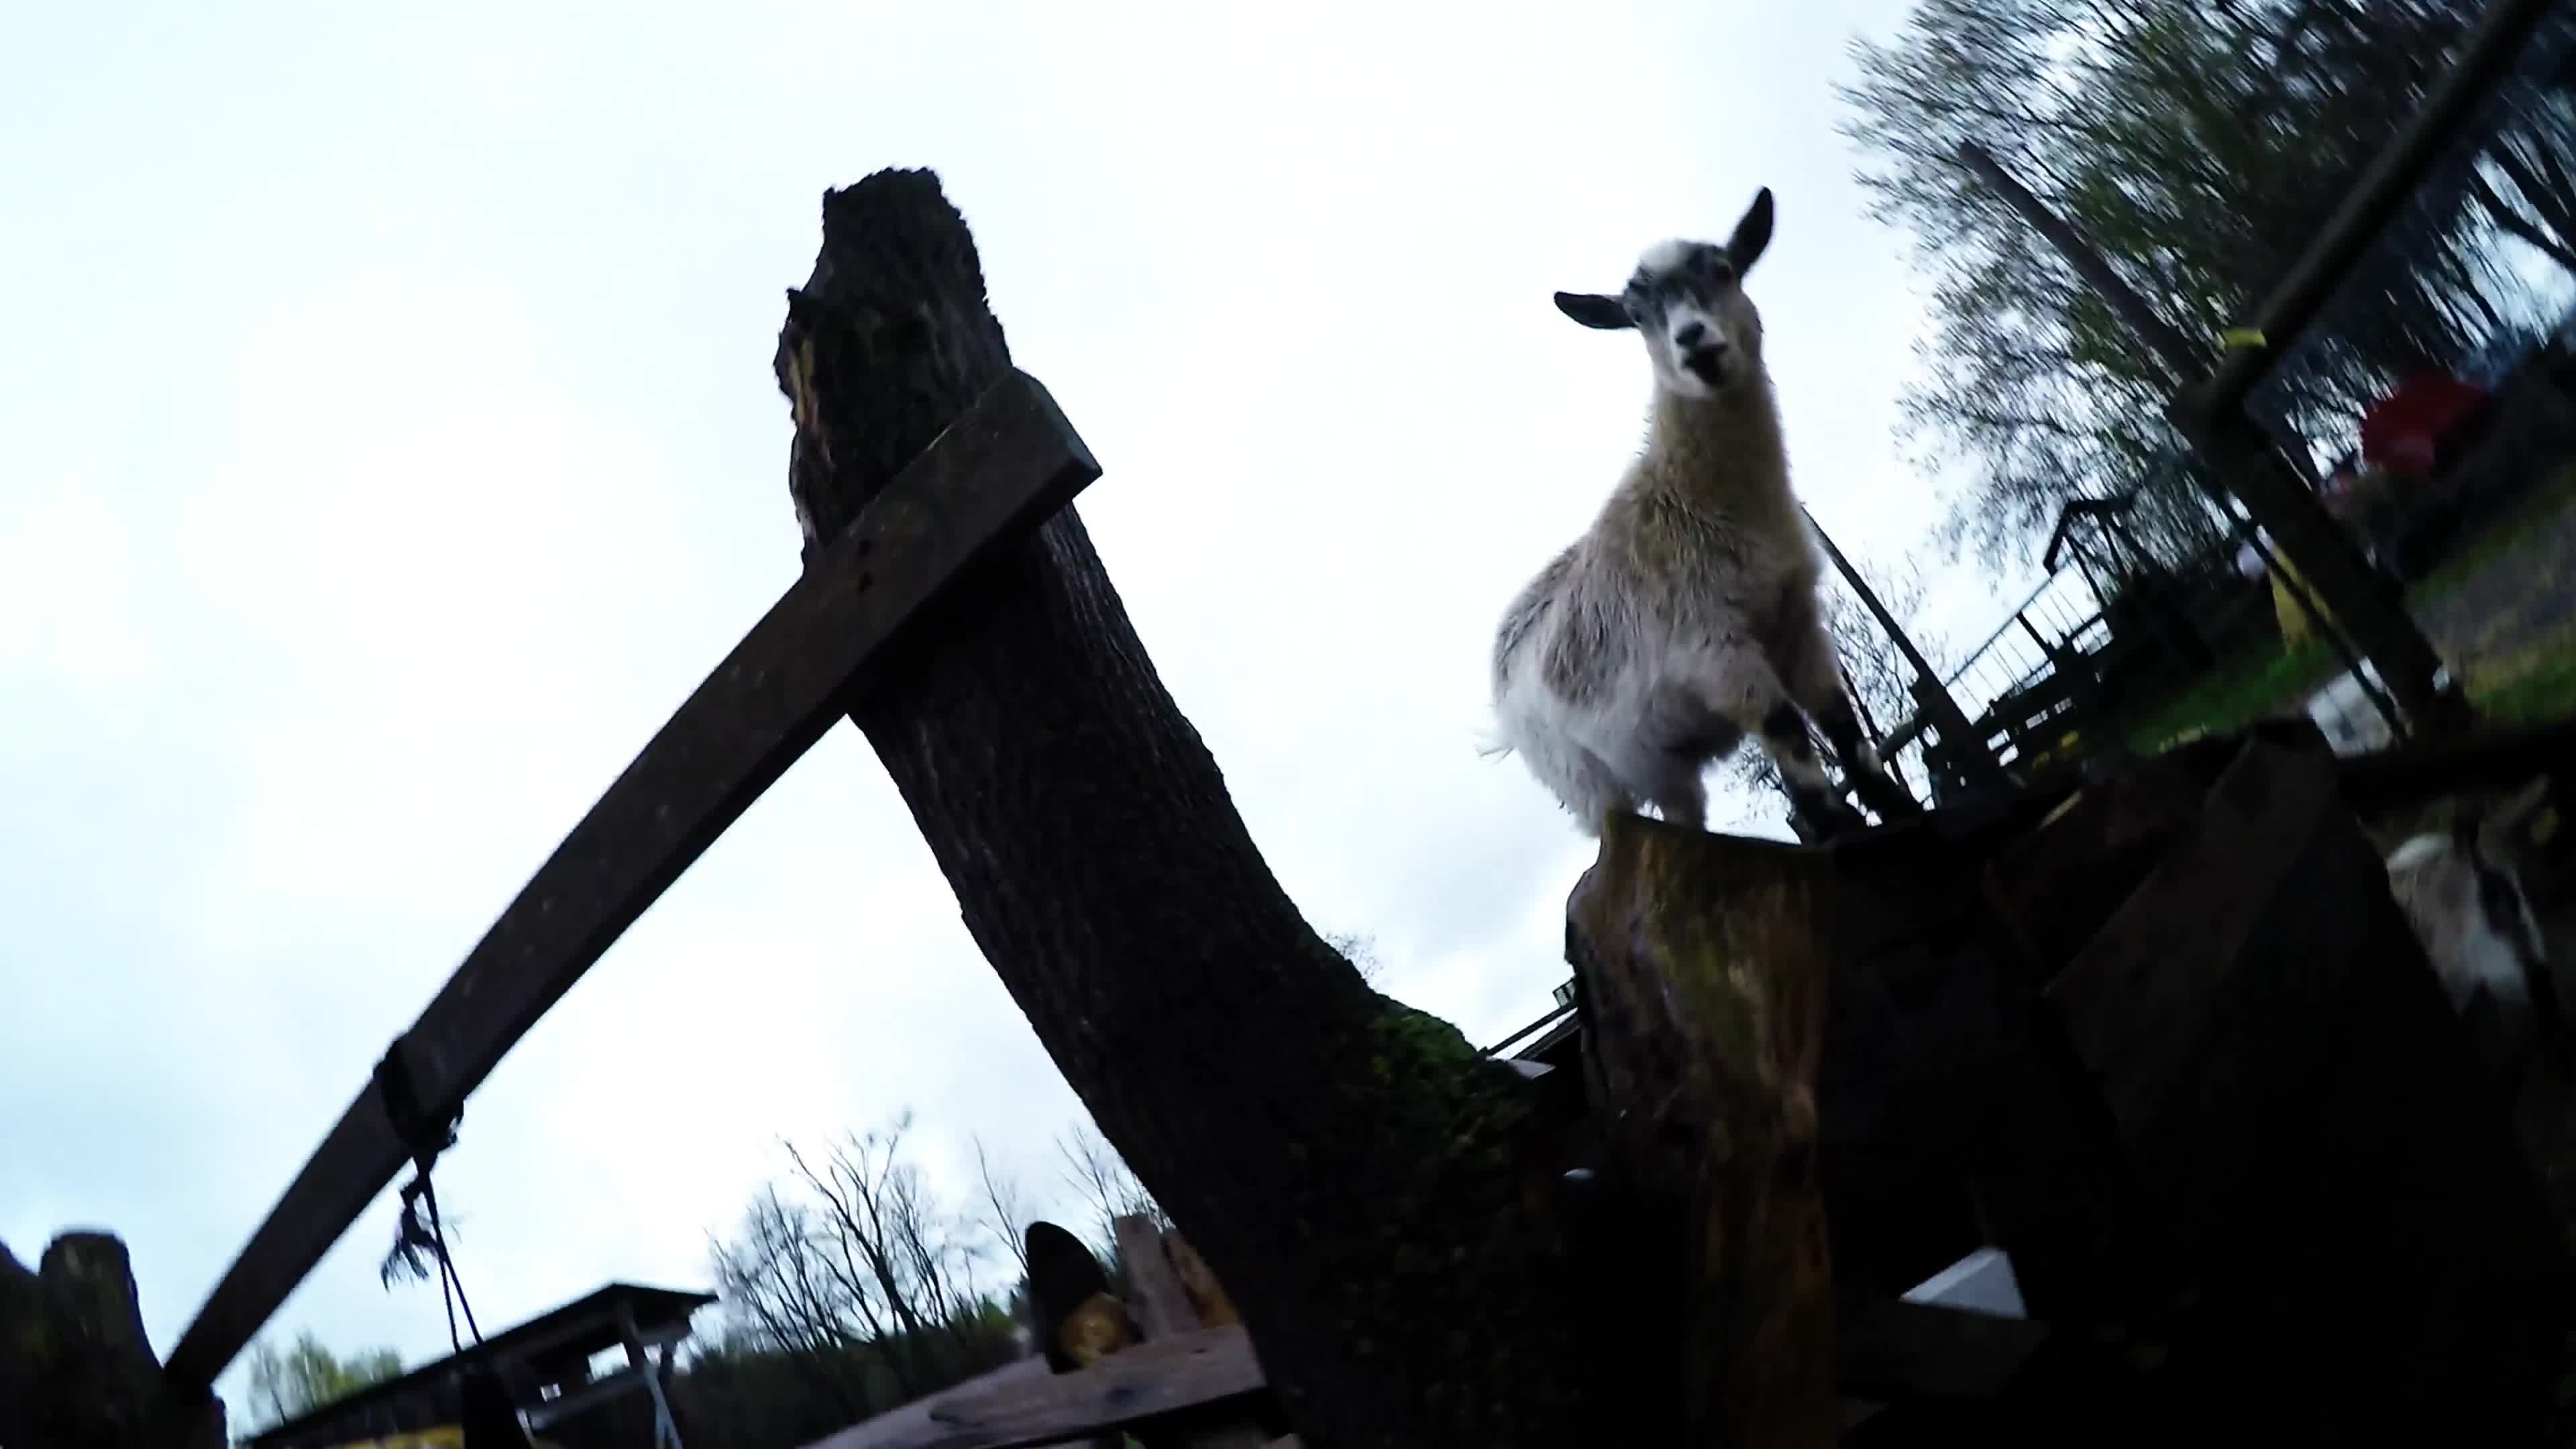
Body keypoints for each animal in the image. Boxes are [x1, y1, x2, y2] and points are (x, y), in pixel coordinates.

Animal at [1489, 188, 1923, 836]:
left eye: (1723, 271)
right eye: (1636, 317)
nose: (1695, 341)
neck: (1702, 500)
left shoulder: (1797, 619)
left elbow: (1843, 728)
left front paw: (1901, 813)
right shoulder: (1713, 649)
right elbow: (1792, 742)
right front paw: (1840, 830)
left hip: (1663, 767)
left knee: (1680, 817)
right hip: (1581, 779)